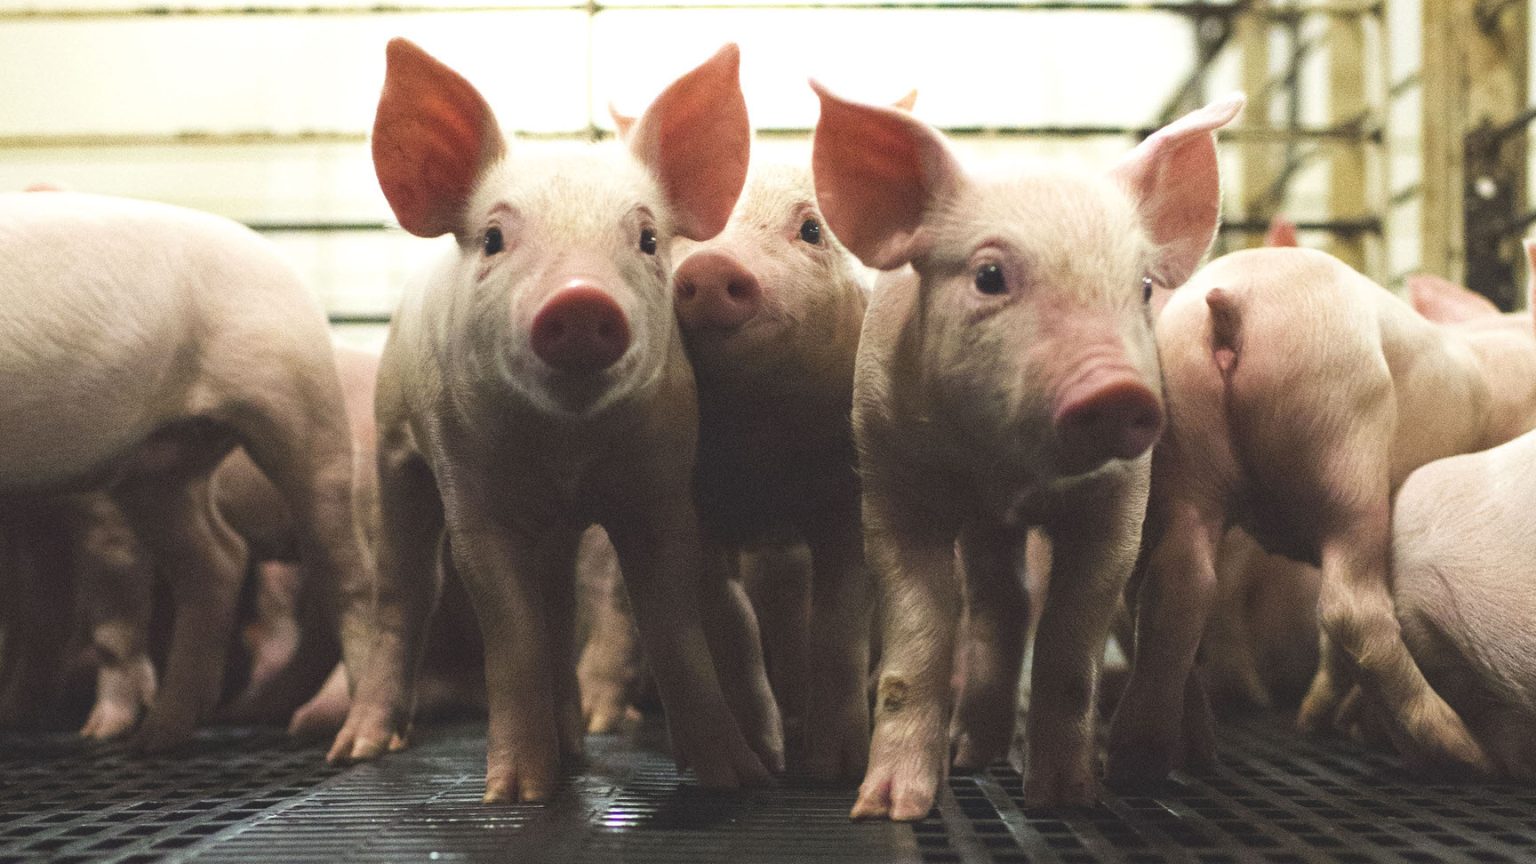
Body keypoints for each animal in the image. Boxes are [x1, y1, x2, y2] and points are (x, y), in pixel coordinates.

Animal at [0, 190, 375, 751]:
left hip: (298, 397)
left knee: (346, 567)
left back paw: (357, 742)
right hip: (158, 466)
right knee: (218, 559)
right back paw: (157, 738)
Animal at [328, 39, 774, 803]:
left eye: (647, 238)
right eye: (494, 238)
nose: (580, 300)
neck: (570, 449)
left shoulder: (661, 486)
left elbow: (671, 627)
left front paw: (736, 780)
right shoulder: (470, 490)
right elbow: (511, 635)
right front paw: (516, 796)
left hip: (559, 532)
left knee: (560, 602)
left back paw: (575, 746)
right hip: (394, 448)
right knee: (408, 591)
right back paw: (359, 751)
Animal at [810, 85, 1245, 818]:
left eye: (1142, 288)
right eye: (989, 276)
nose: (1119, 389)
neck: (1007, 475)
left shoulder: (1120, 498)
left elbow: (1071, 646)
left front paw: (1068, 799)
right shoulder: (893, 480)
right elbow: (920, 642)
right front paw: (888, 809)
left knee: (1164, 595)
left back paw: (1177, 762)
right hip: (984, 532)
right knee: (1004, 601)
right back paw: (971, 755)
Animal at [1106, 245, 1536, 789]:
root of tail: (1232, 302)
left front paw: (1321, 722)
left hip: (1183, 445)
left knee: (1176, 588)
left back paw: (1155, 760)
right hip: (1345, 446)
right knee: (1351, 610)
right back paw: (1459, 754)